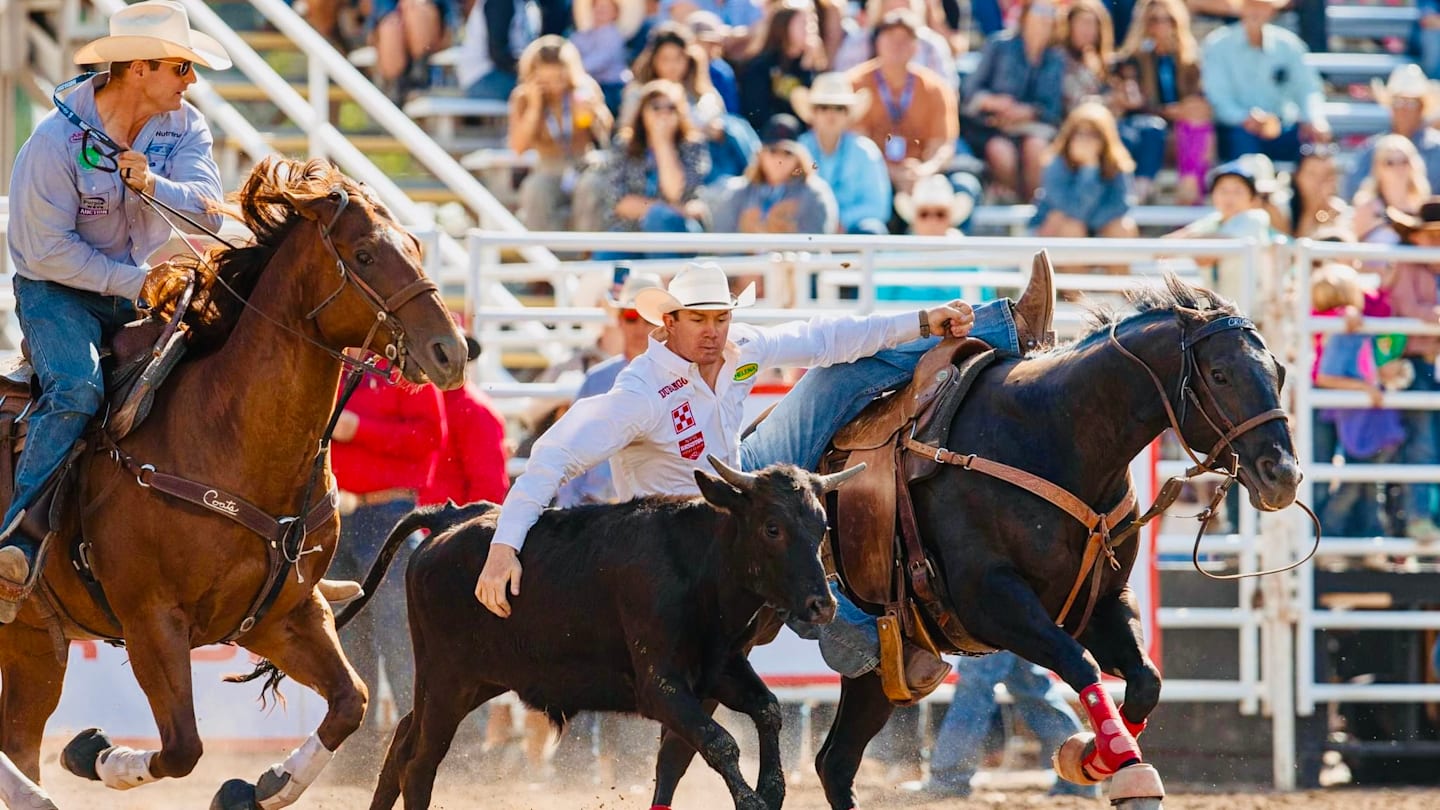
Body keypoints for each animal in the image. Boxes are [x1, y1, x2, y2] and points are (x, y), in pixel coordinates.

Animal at [0, 156, 467, 810]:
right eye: (366, 254)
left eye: (416, 246)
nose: (451, 351)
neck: (225, 435)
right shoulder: (152, 622)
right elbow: (181, 749)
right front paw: (95, 753)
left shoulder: (286, 614)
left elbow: (350, 704)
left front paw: (260, 784)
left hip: (34, 639)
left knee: (18, 736)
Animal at [648, 278, 1302, 810]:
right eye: (1220, 375)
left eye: (1278, 373)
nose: (1283, 474)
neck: (1050, 434)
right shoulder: (993, 602)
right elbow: (1081, 663)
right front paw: (1113, 759)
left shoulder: (1102, 602)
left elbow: (1145, 680)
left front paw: (1089, 757)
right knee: (680, 751)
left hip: (873, 670)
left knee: (833, 763)